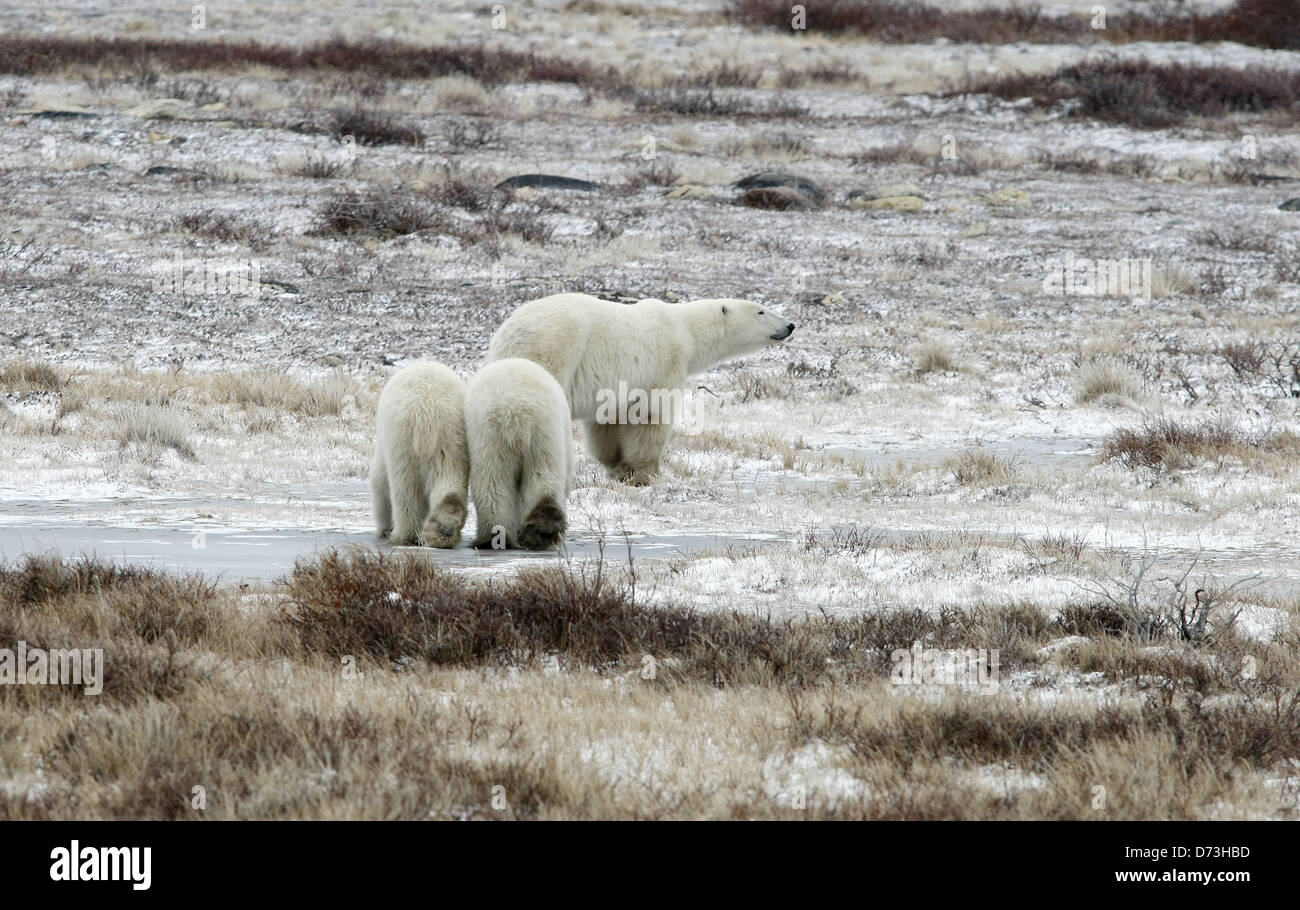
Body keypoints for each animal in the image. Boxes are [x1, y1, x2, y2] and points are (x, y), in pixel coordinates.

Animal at [370, 361, 469, 548]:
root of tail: (425, 411)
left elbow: (380, 481)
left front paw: (384, 526)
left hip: (402, 440)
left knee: (406, 488)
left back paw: (405, 535)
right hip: (451, 437)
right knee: (448, 475)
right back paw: (444, 529)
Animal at [486, 293, 794, 484]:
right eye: (761, 310)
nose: (790, 325)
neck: (686, 330)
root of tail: (512, 332)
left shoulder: (614, 385)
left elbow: (608, 422)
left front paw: (618, 468)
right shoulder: (665, 361)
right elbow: (651, 415)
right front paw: (649, 473)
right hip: (553, 350)